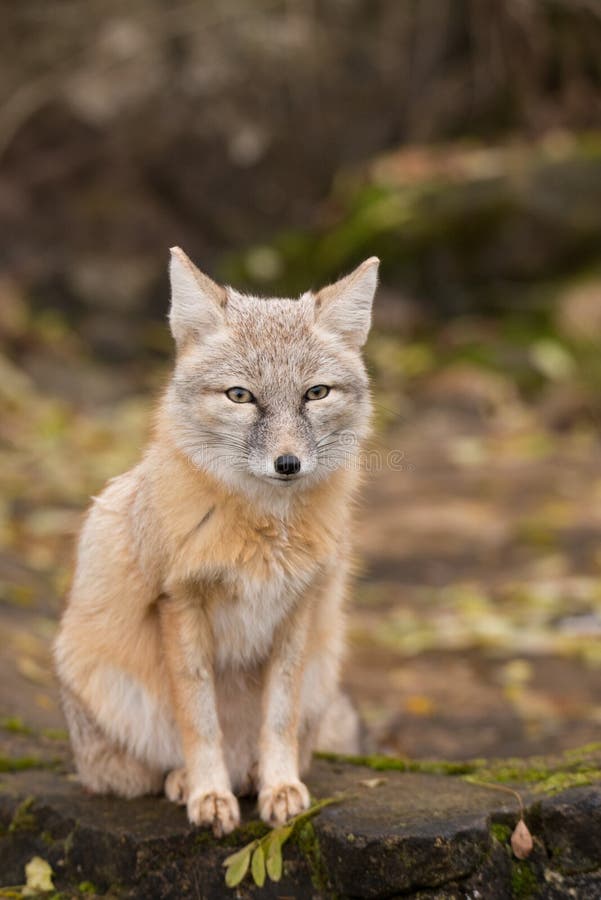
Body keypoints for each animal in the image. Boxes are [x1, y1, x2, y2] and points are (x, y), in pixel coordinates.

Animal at [54, 247, 379, 836]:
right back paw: (186, 780)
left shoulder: (296, 608)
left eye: (316, 393)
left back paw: (251, 776)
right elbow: (199, 719)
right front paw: (209, 792)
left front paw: (279, 786)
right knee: (149, 766)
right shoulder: (180, 604)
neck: (266, 534)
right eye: (241, 396)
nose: (288, 464)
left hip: (323, 666)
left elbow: (279, 718)